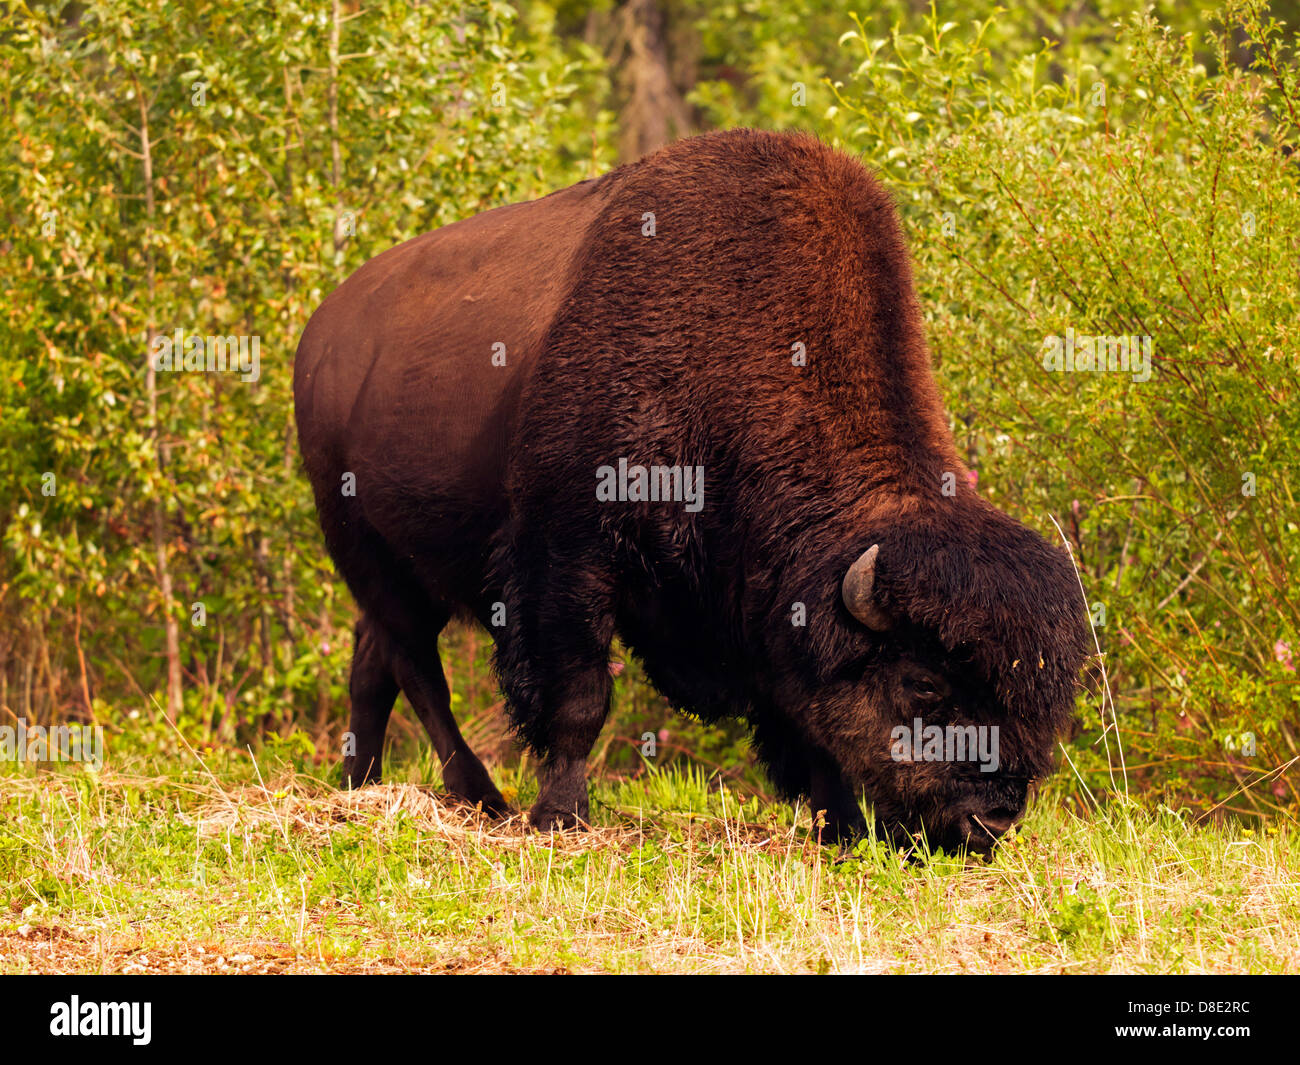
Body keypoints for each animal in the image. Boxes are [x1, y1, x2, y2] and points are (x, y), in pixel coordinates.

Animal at [293, 129, 1088, 855]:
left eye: (1041, 700)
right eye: (923, 685)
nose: (992, 821)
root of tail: (322, 331)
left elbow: (806, 724)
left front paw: (842, 829)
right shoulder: (570, 553)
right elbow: (580, 695)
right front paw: (561, 817)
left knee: (375, 661)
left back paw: (359, 786)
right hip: (366, 550)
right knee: (416, 667)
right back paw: (480, 796)